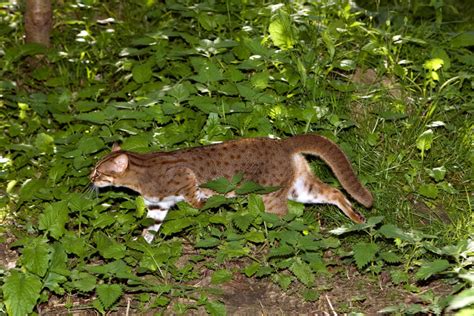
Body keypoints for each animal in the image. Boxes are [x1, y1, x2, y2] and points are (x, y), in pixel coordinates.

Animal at [91, 135, 374, 243]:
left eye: (98, 171)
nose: (89, 178)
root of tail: (283, 142)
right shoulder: (157, 207)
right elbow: (148, 231)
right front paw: (141, 249)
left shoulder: (185, 178)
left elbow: (197, 200)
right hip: (300, 188)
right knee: (334, 192)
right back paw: (358, 219)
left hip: (270, 197)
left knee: (287, 221)